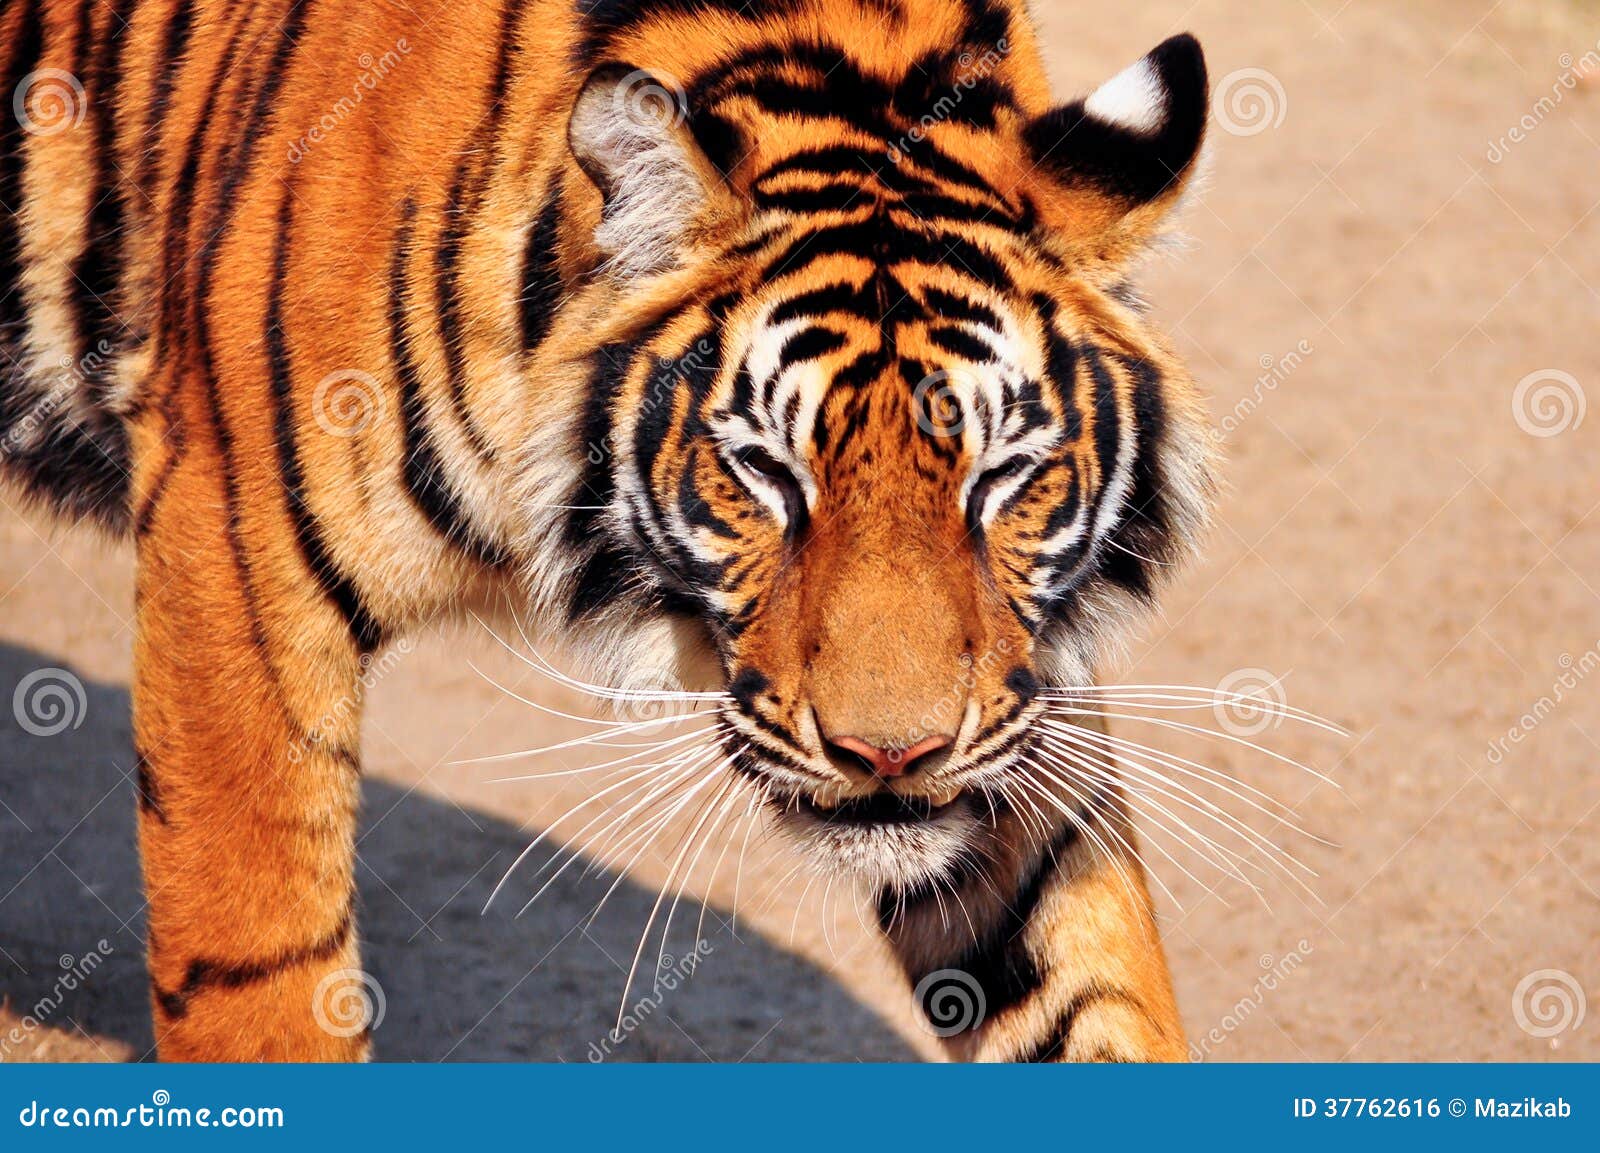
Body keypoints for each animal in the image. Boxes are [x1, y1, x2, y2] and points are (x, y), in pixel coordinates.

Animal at [0, 0, 1219, 1062]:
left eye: (1001, 476)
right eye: (766, 472)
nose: (891, 757)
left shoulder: (1017, 695)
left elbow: (1086, 965)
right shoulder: (233, 557)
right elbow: (257, 967)